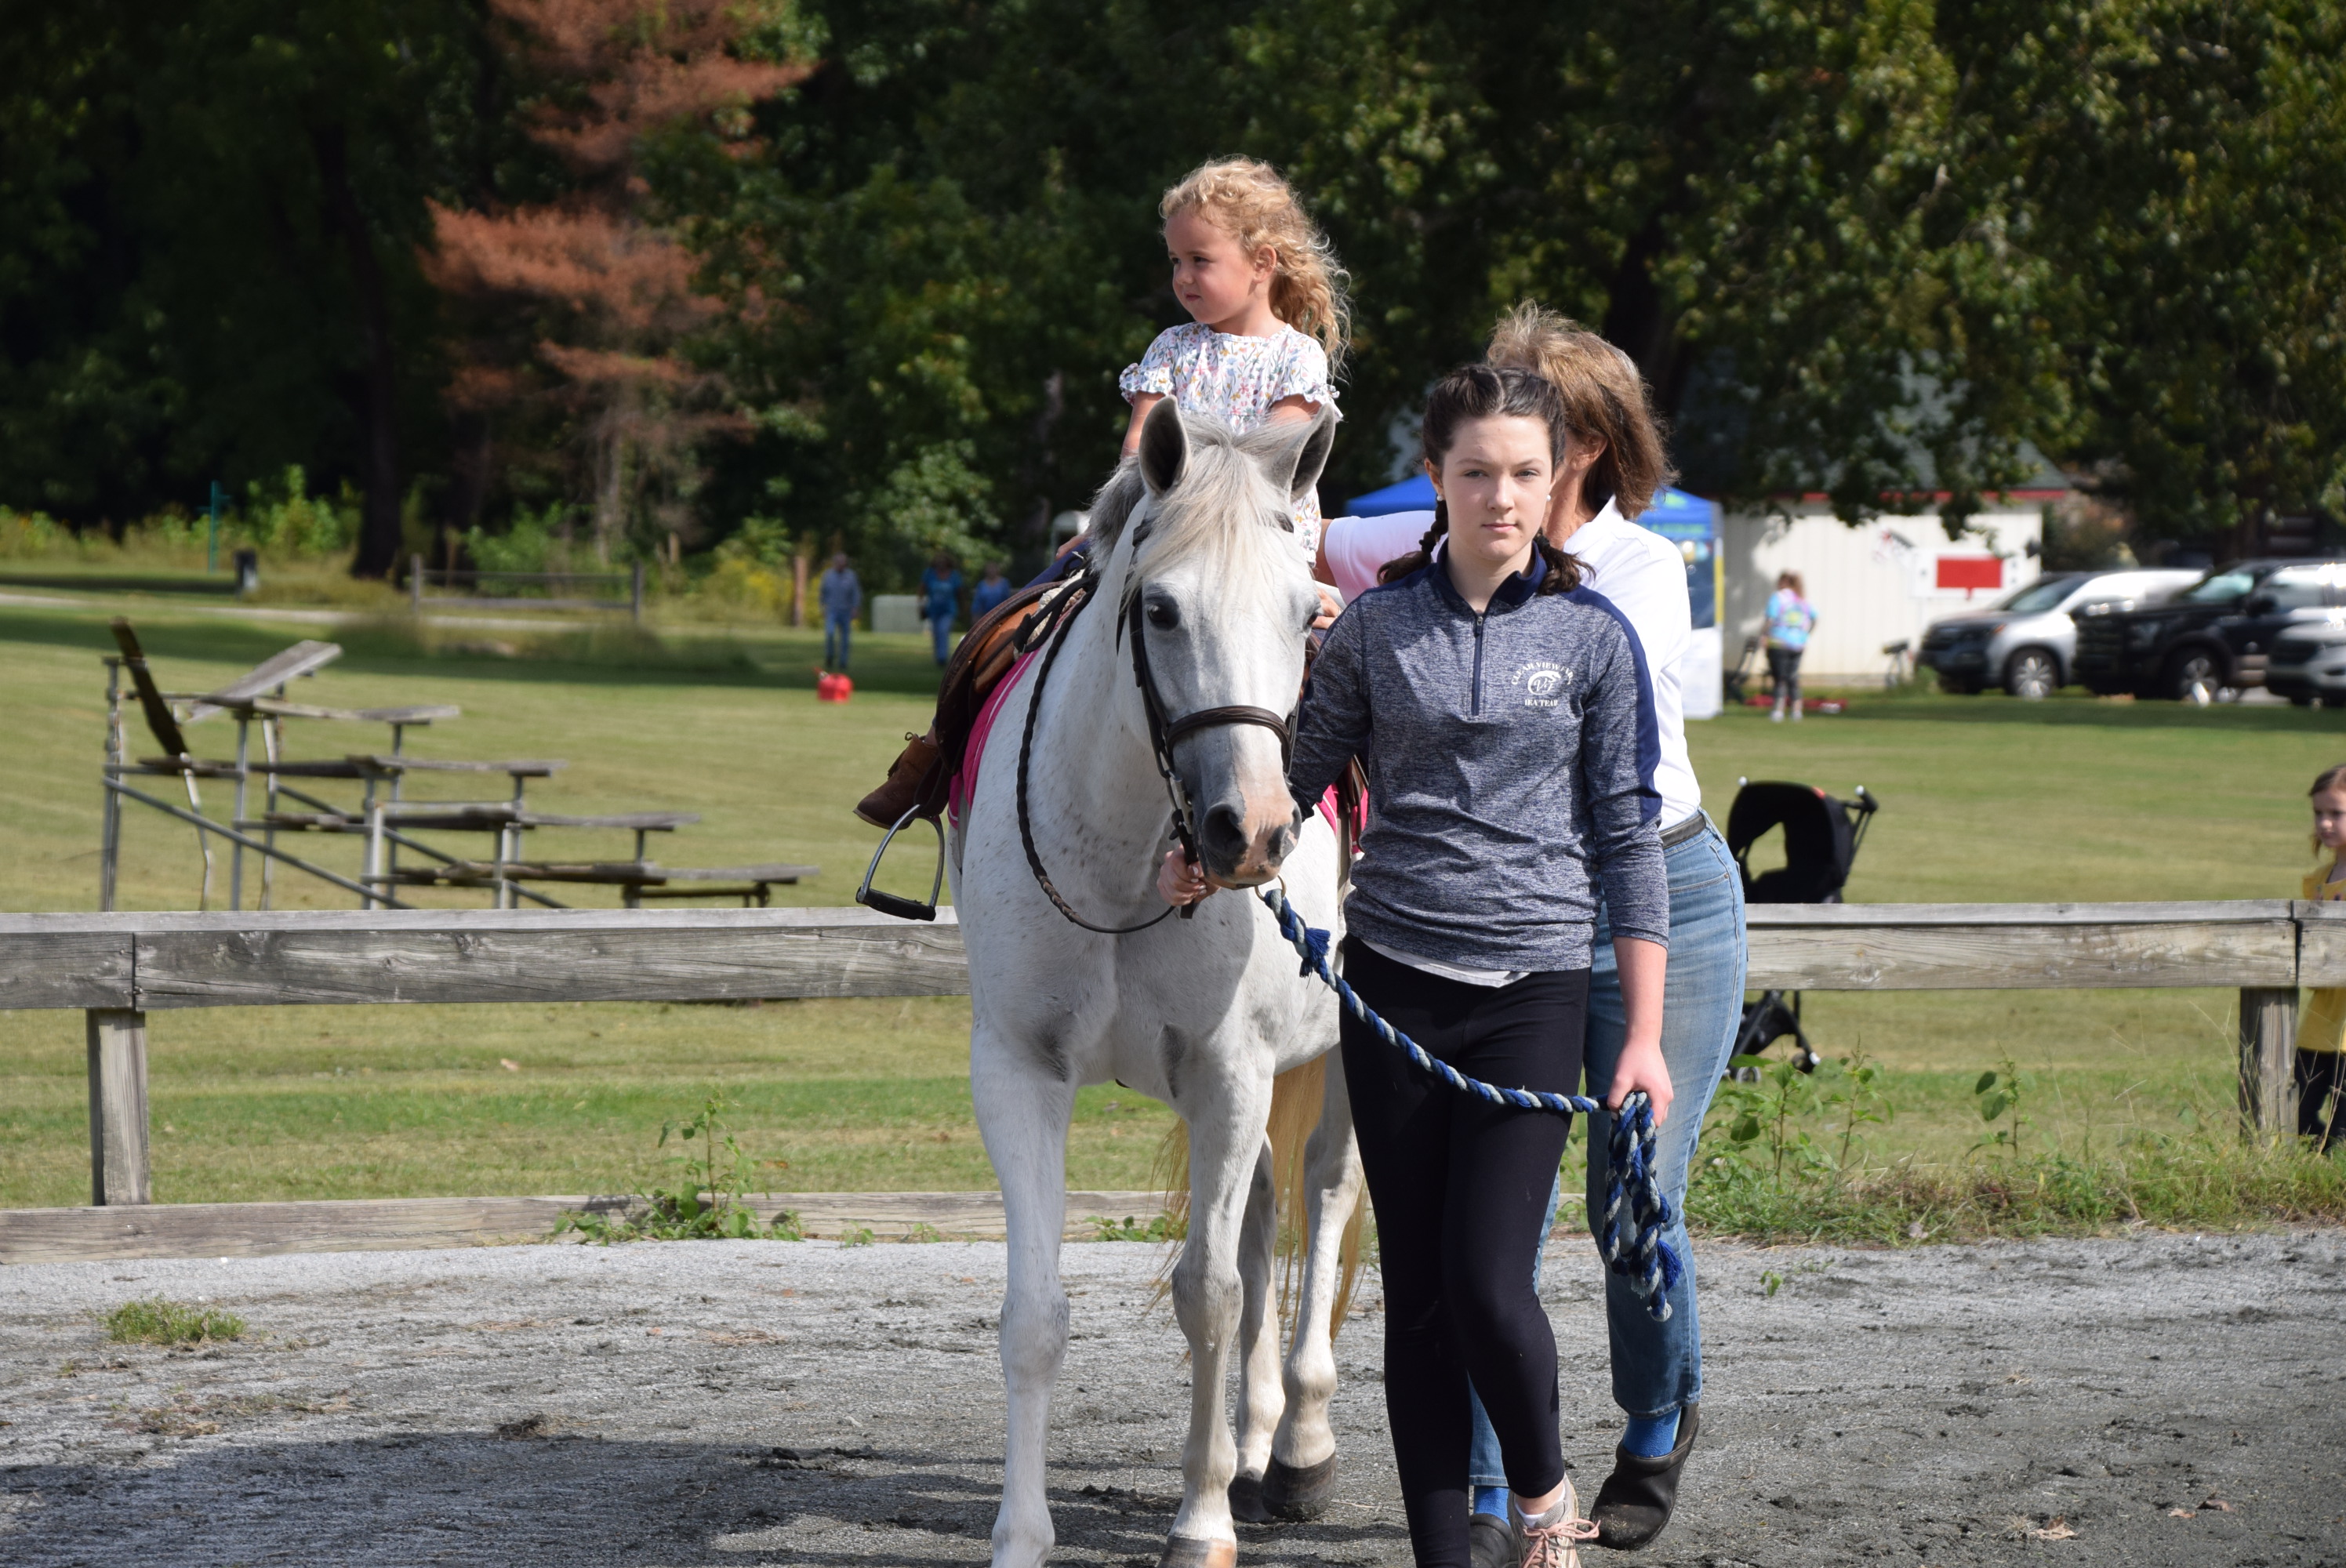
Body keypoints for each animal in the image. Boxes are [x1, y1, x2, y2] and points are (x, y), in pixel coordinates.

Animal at [950, 396, 1367, 1568]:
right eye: (1164, 609)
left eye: (1302, 616)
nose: (1254, 830)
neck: (1132, 853)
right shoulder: (1019, 1072)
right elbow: (1034, 1316)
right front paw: (1020, 1535)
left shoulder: (1228, 1074)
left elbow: (1209, 1297)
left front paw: (1201, 1520)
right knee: (1268, 1212)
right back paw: (1259, 1441)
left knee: (1322, 1195)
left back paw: (1300, 1444)